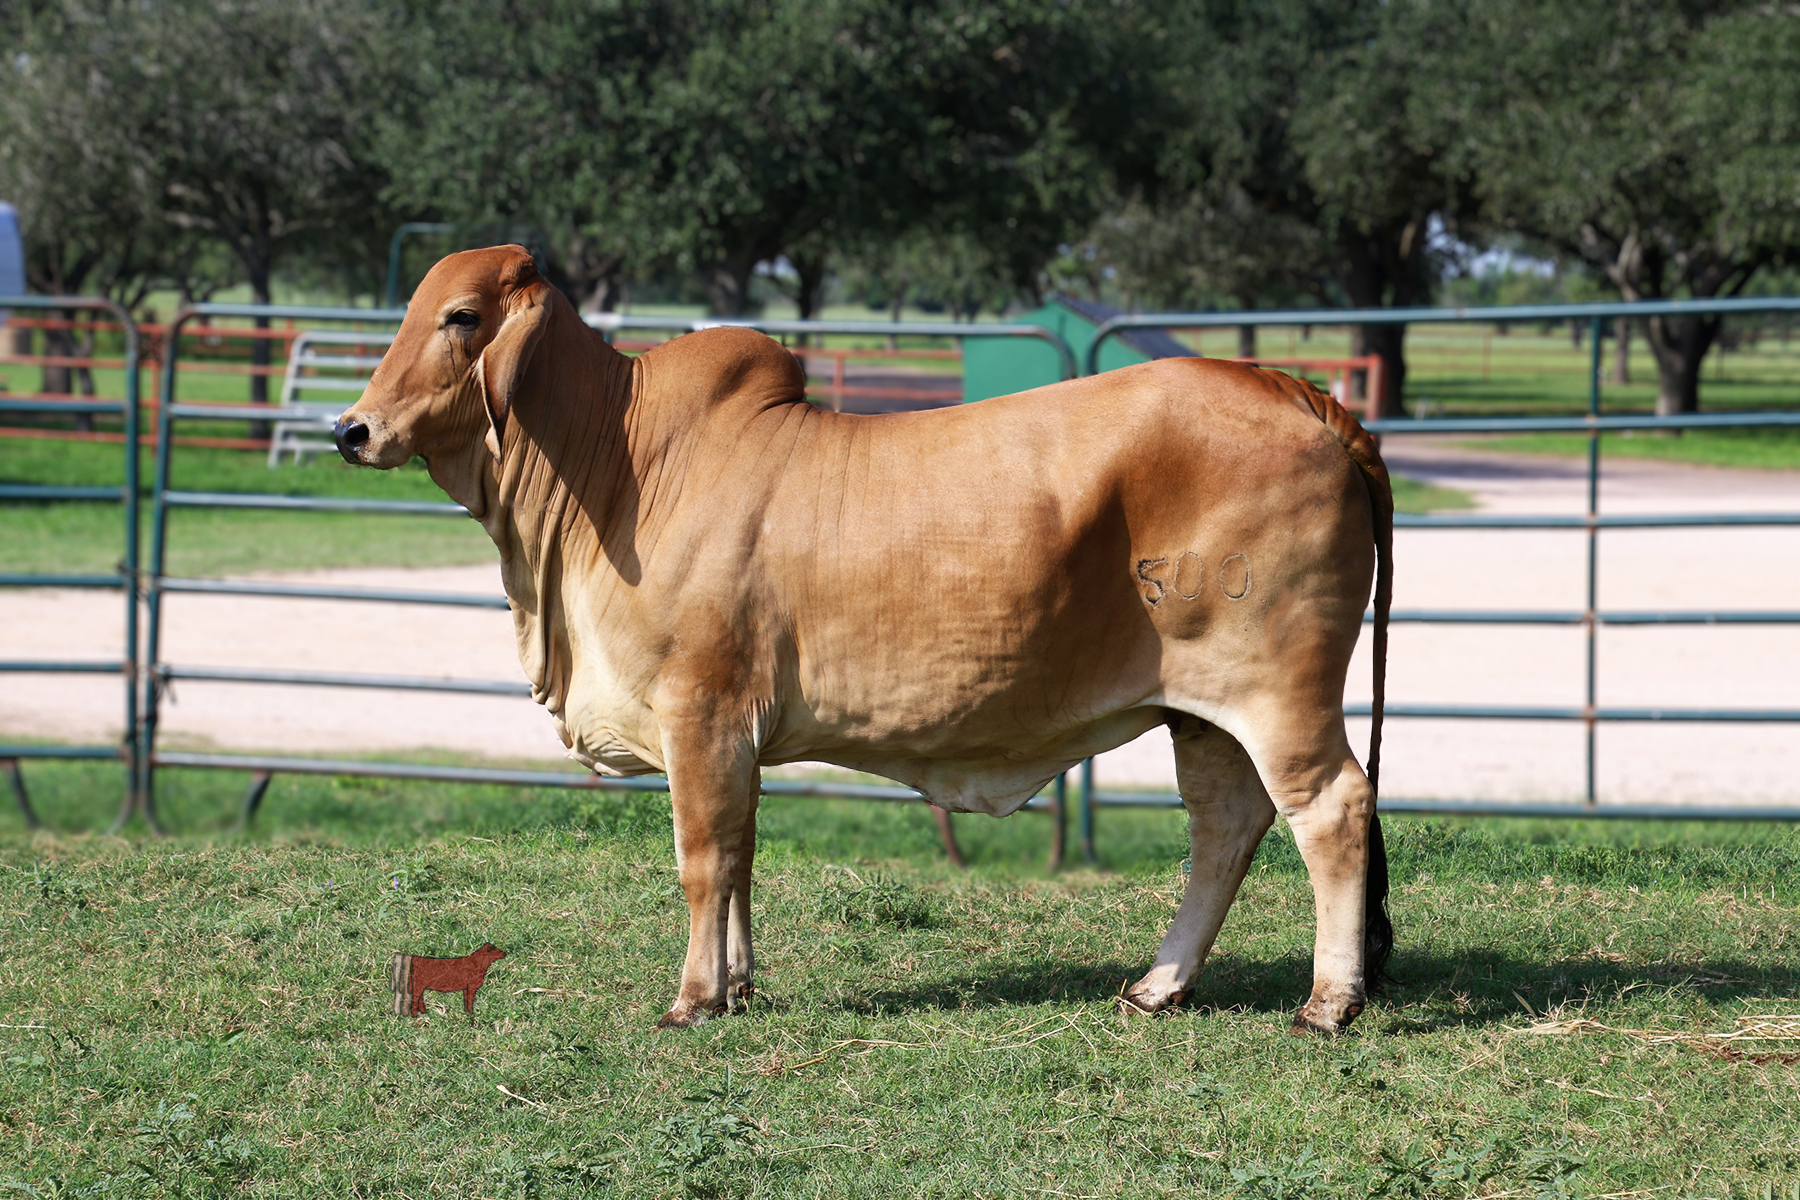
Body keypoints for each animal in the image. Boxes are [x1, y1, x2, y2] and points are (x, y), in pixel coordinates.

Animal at [334, 246, 1393, 1034]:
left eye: (460, 317)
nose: (353, 430)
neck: (620, 467)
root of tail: (1303, 395)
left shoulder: (700, 714)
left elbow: (703, 857)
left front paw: (693, 999)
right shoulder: (736, 738)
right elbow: (742, 853)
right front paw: (739, 987)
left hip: (1280, 692)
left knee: (1331, 809)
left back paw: (1327, 1003)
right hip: (1201, 712)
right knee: (1226, 826)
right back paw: (1157, 986)